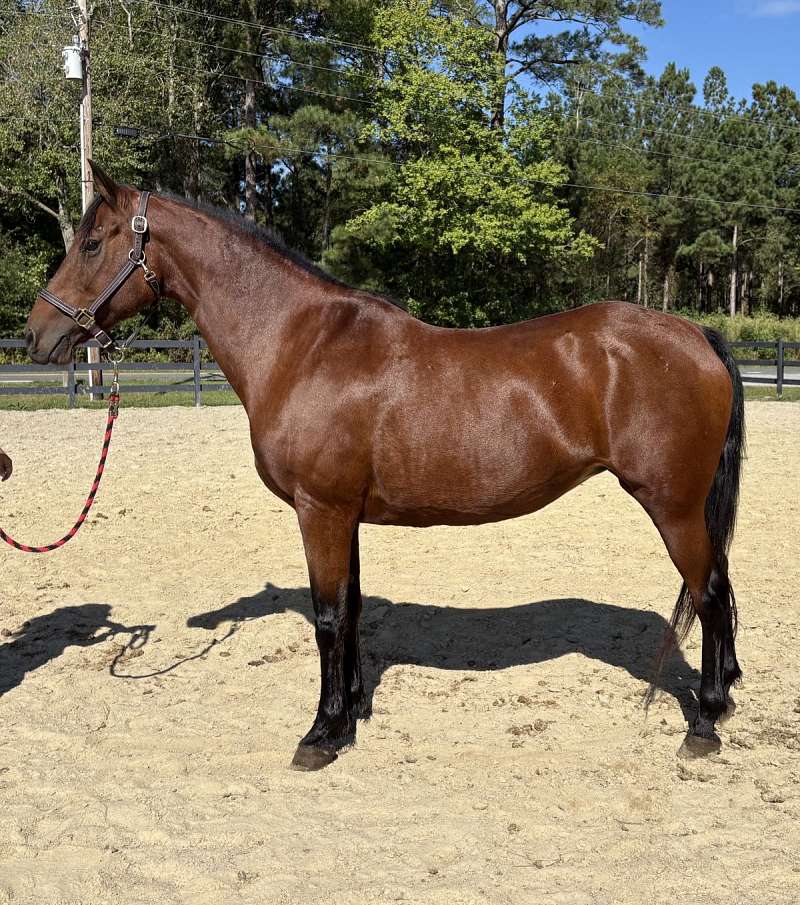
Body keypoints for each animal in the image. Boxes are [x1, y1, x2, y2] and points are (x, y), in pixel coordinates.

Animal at [24, 162, 744, 770]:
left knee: (709, 594)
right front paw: (350, 714)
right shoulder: (345, 516)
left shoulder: (320, 512)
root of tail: (695, 335)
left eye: (92, 244)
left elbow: (327, 618)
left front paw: (321, 733)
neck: (302, 343)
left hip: (674, 506)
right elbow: (352, 609)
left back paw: (705, 723)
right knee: (721, 588)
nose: (36, 335)